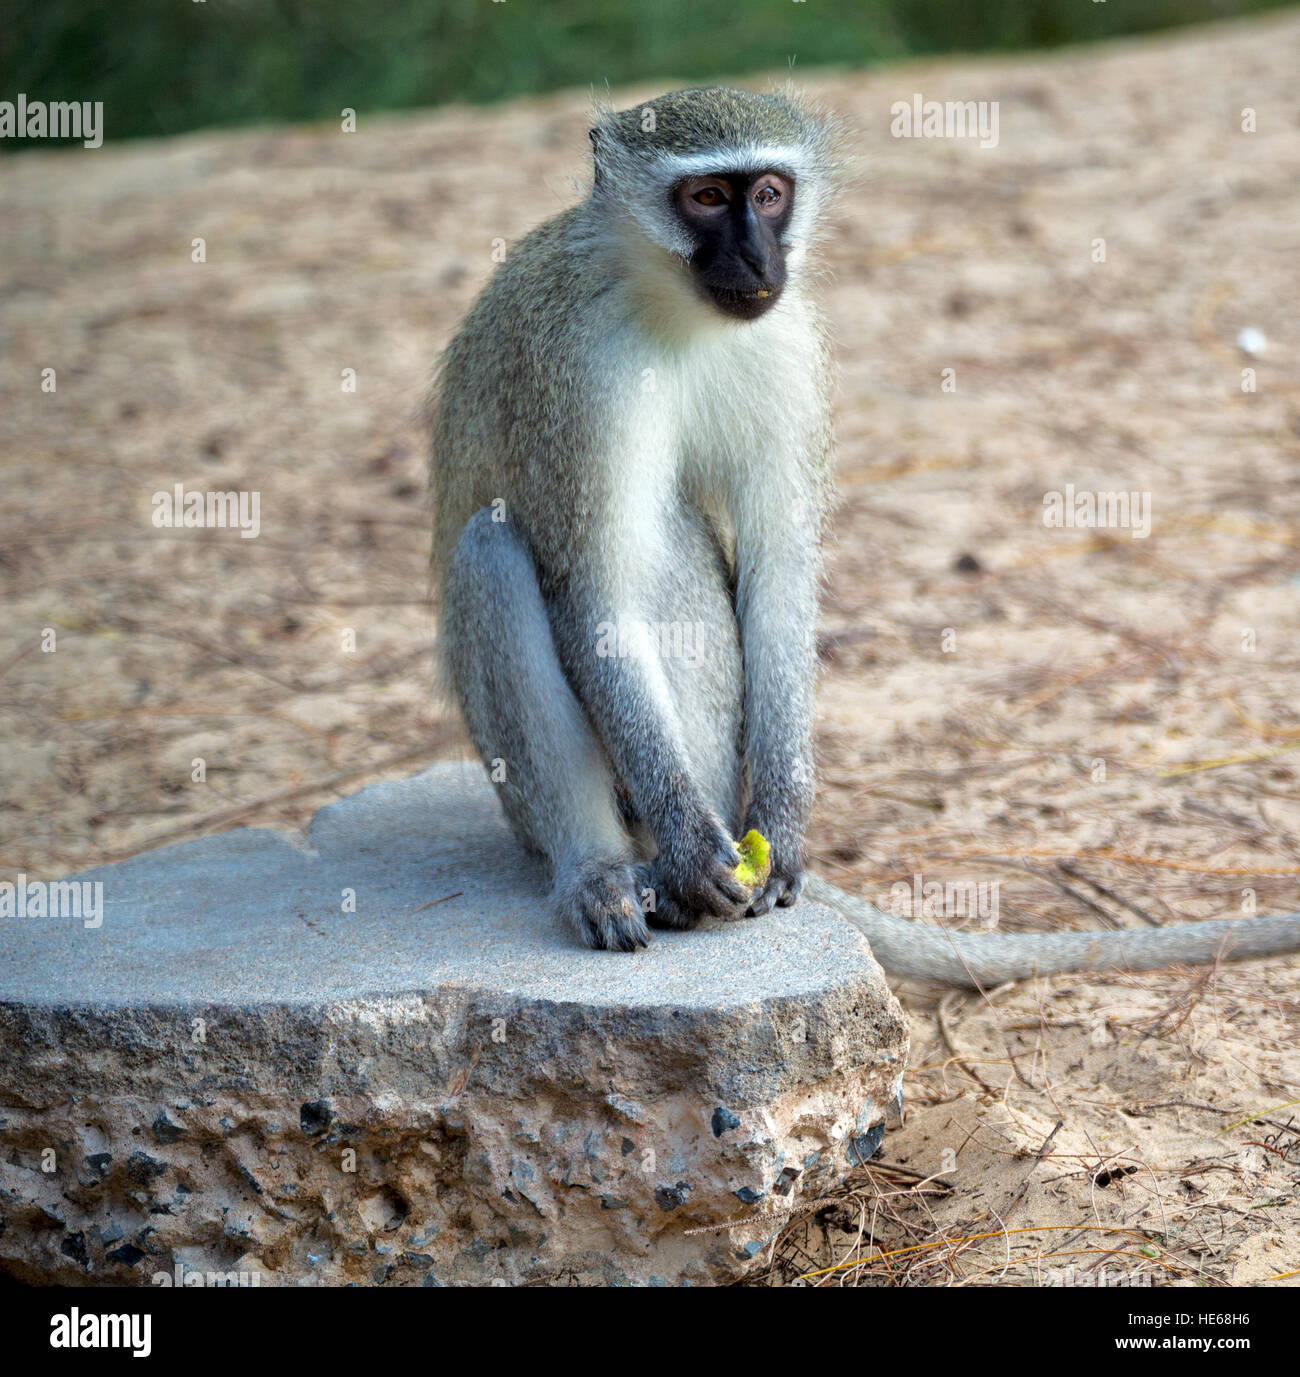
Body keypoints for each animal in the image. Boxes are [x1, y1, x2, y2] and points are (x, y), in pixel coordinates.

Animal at [429, 85, 1300, 984]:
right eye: (706, 198)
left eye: (768, 194)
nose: (758, 262)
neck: (674, 308)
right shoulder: (578, 372)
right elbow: (597, 596)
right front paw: (688, 838)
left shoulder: (787, 345)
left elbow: (779, 569)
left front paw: (780, 823)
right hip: (518, 806)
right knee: (495, 549)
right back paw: (603, 868)